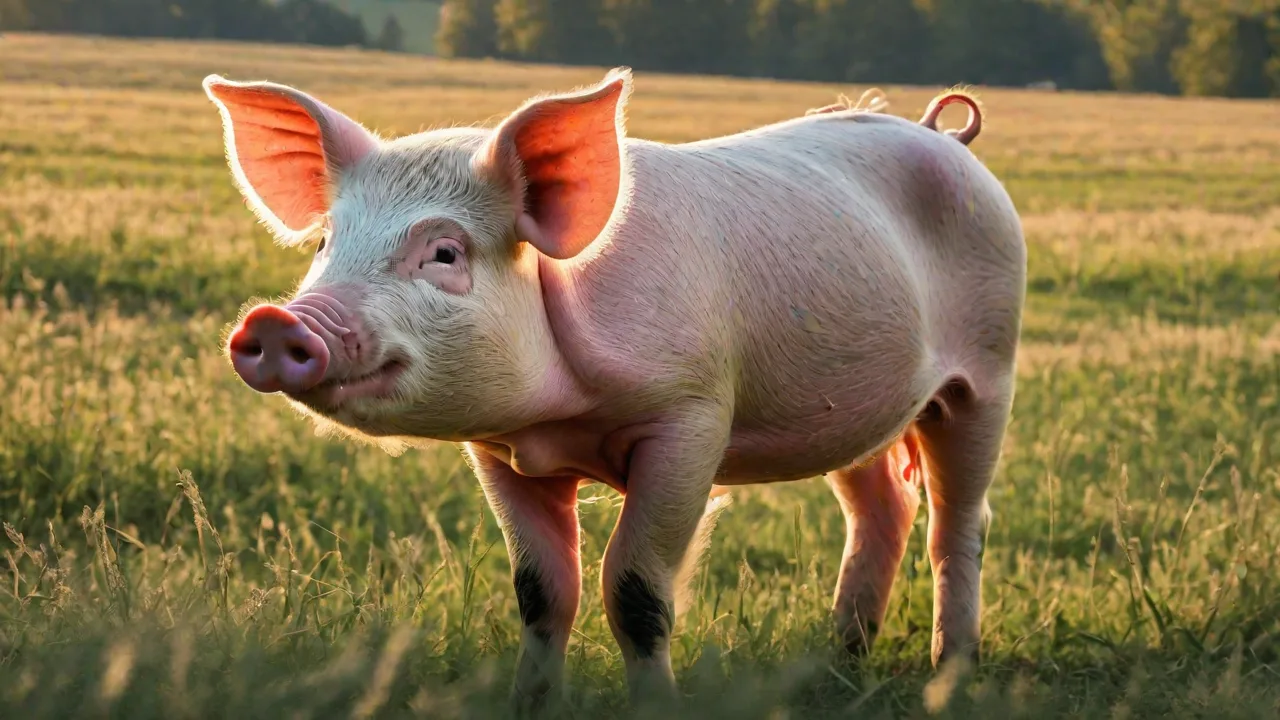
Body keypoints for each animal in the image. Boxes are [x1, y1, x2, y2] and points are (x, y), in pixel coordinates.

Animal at [202, 67, 1025, 709]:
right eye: (325, 243)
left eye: (444, 253)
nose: (277, 322)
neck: (559, 418)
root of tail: (941, 135)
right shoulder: (499, 452)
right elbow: (540, 591)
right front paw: (529, 705)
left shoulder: (691, 417)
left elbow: (634, 591)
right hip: (855, 410)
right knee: (882, 507)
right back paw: (837, 667)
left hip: (989, 368)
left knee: (960, 522)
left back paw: (950, 675)